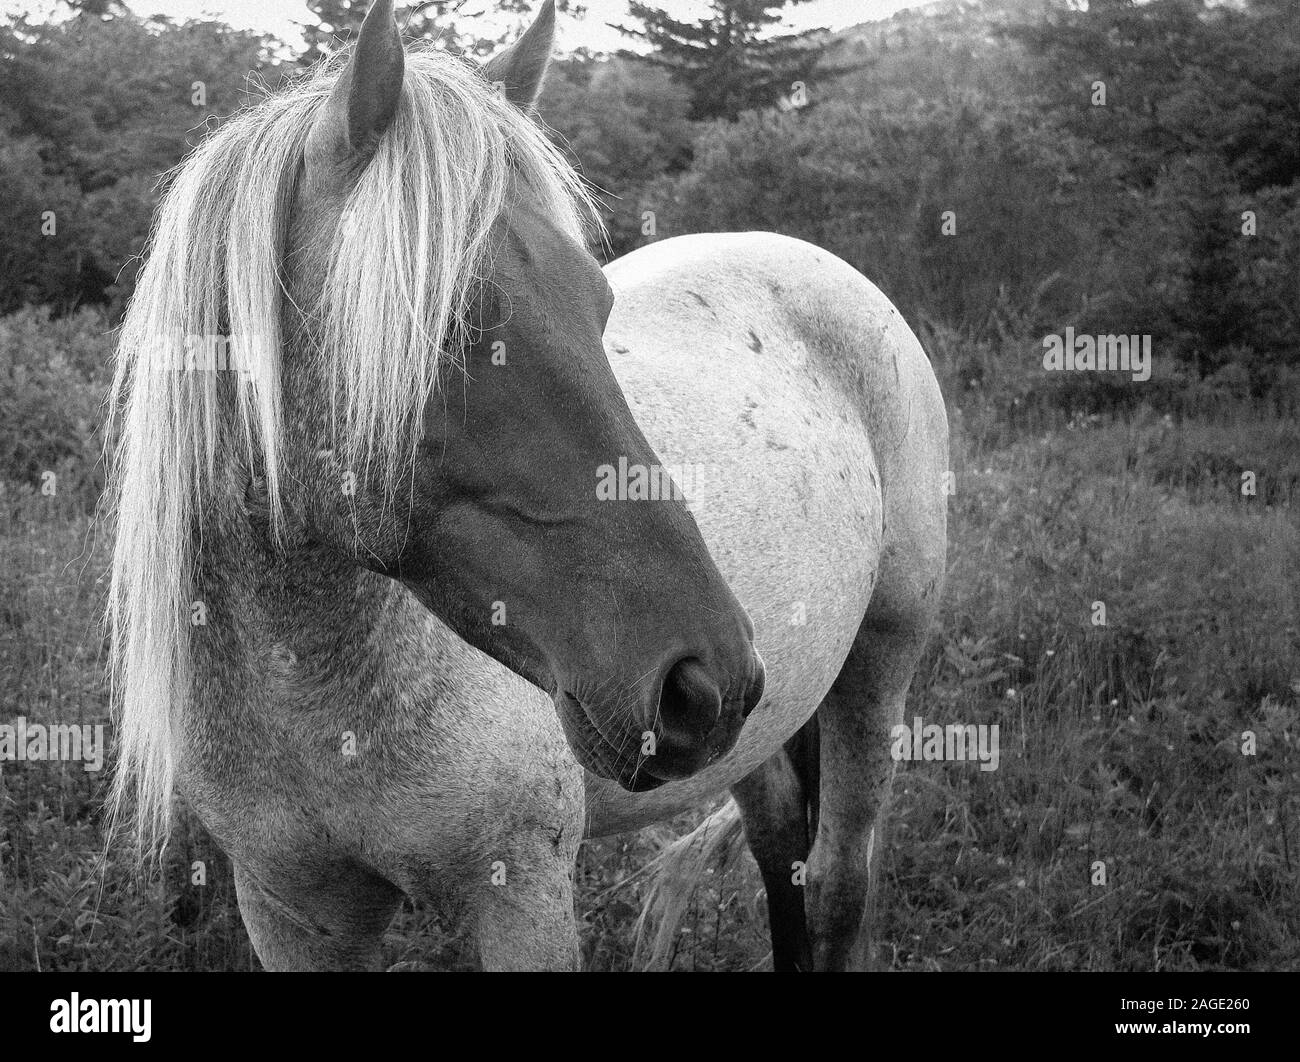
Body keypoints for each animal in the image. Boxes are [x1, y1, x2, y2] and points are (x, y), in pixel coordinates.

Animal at [106, 0, 947, 972]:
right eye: (448, 327)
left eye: (599, 304)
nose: (701, 681)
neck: (316, 703)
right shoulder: (291, 910)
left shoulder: (523, 895)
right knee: (783, 851)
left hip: (877, 667)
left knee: (842, 881)